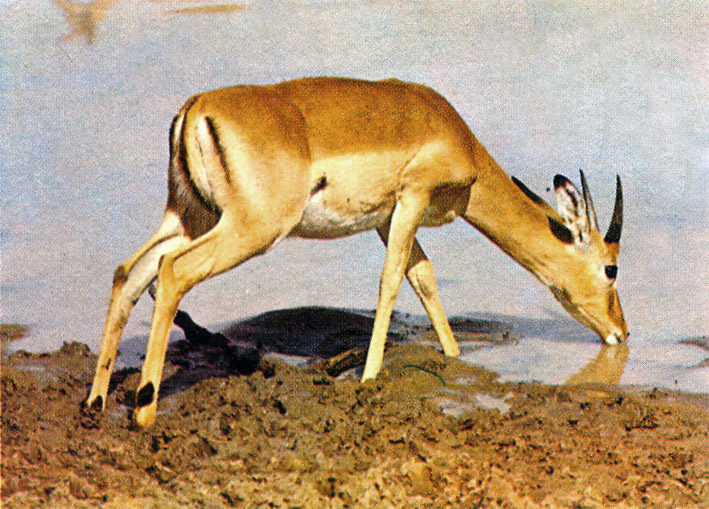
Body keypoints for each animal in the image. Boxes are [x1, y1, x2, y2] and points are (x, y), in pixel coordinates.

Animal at [84, 77, 627, 428]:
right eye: (611, 267)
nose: (621, 332)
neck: (457, 139)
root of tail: (197, 106)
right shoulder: (412, 199)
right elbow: (391, 282)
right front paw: (368, 378)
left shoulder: (388, 219)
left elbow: (423, 279)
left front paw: (453, 358)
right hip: (249, 229)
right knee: (172, 271)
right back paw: (144, 411)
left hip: (187, 217)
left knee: (129, 271)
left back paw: (95, 403)